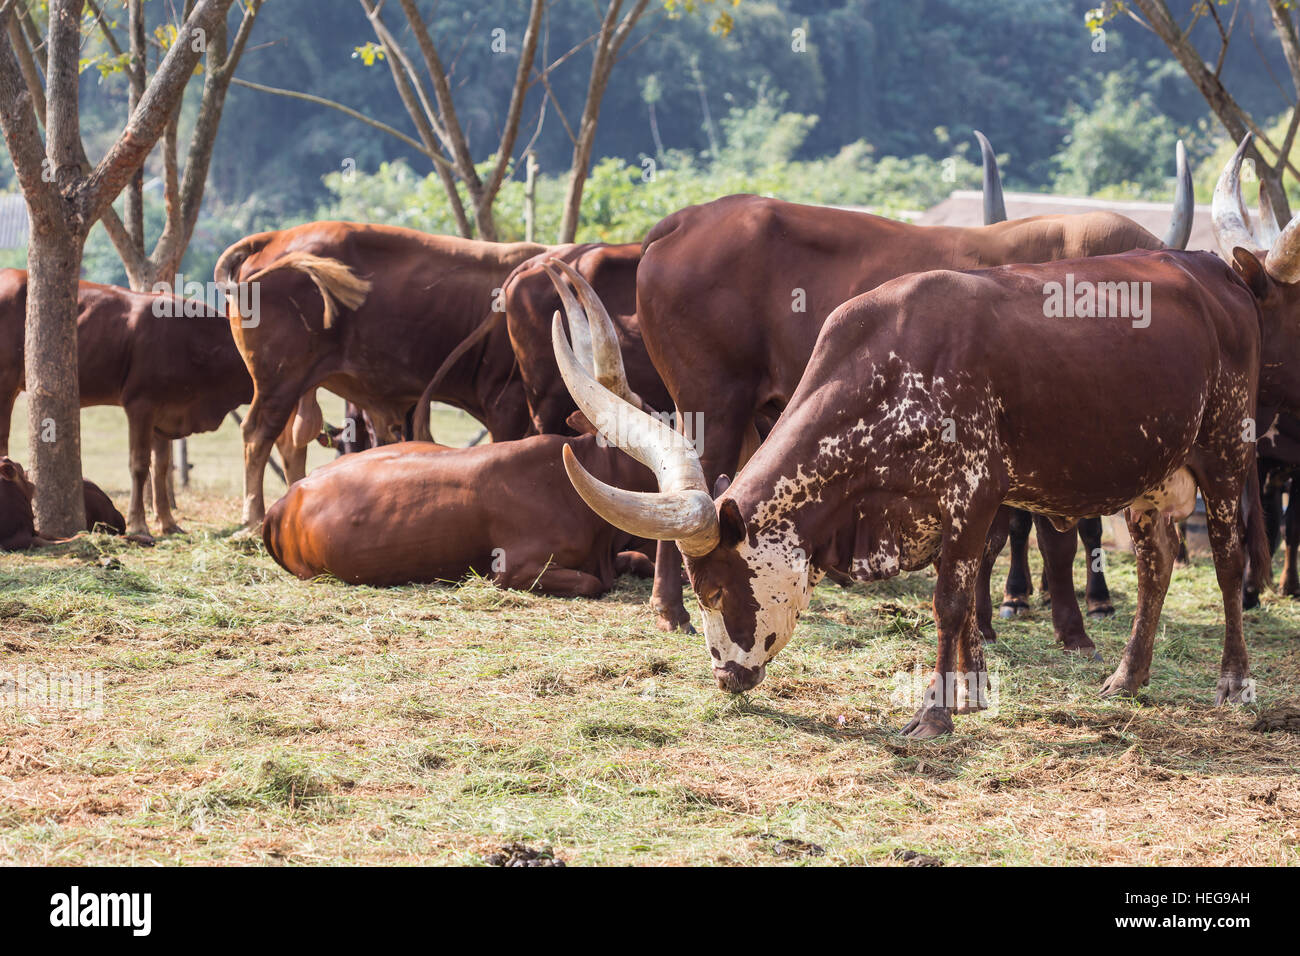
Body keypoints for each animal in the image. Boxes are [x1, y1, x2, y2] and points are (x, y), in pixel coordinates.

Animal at [213, 222, 549, 531]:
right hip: (279, 381)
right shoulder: (507, 399)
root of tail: (272, 237)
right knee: (257, 434)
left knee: (289, 442)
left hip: (296, 384)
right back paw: (253, 518)